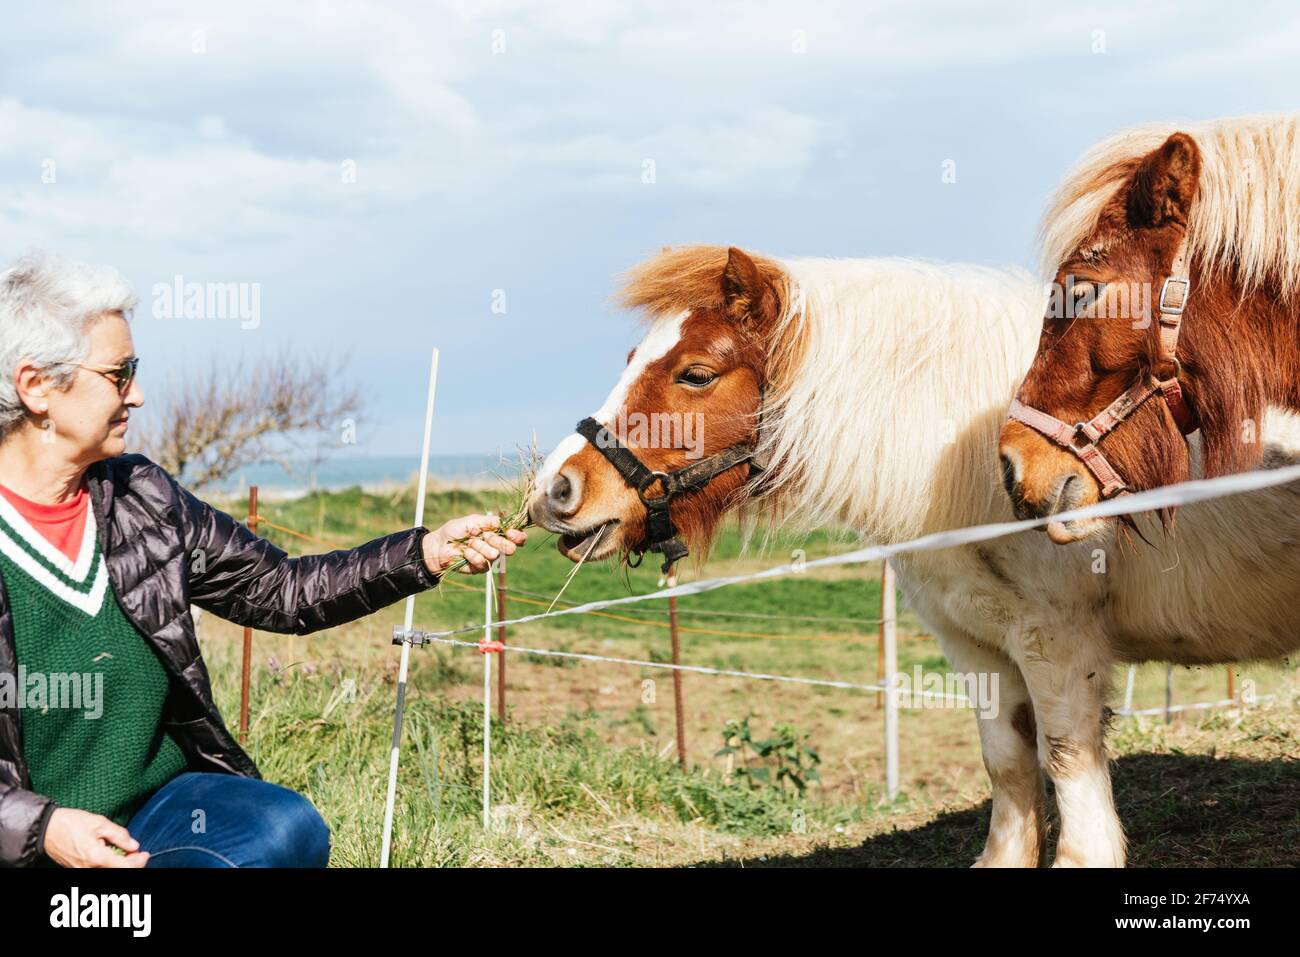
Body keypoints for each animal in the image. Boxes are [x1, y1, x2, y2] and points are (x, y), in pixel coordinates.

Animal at [526, 244, 1300, 867]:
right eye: (631, 360)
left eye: (694, 374)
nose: (555, 491)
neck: (977, 457)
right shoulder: (974, 640)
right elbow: (1007, 761)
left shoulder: (1059, 642)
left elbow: (1065, 756)